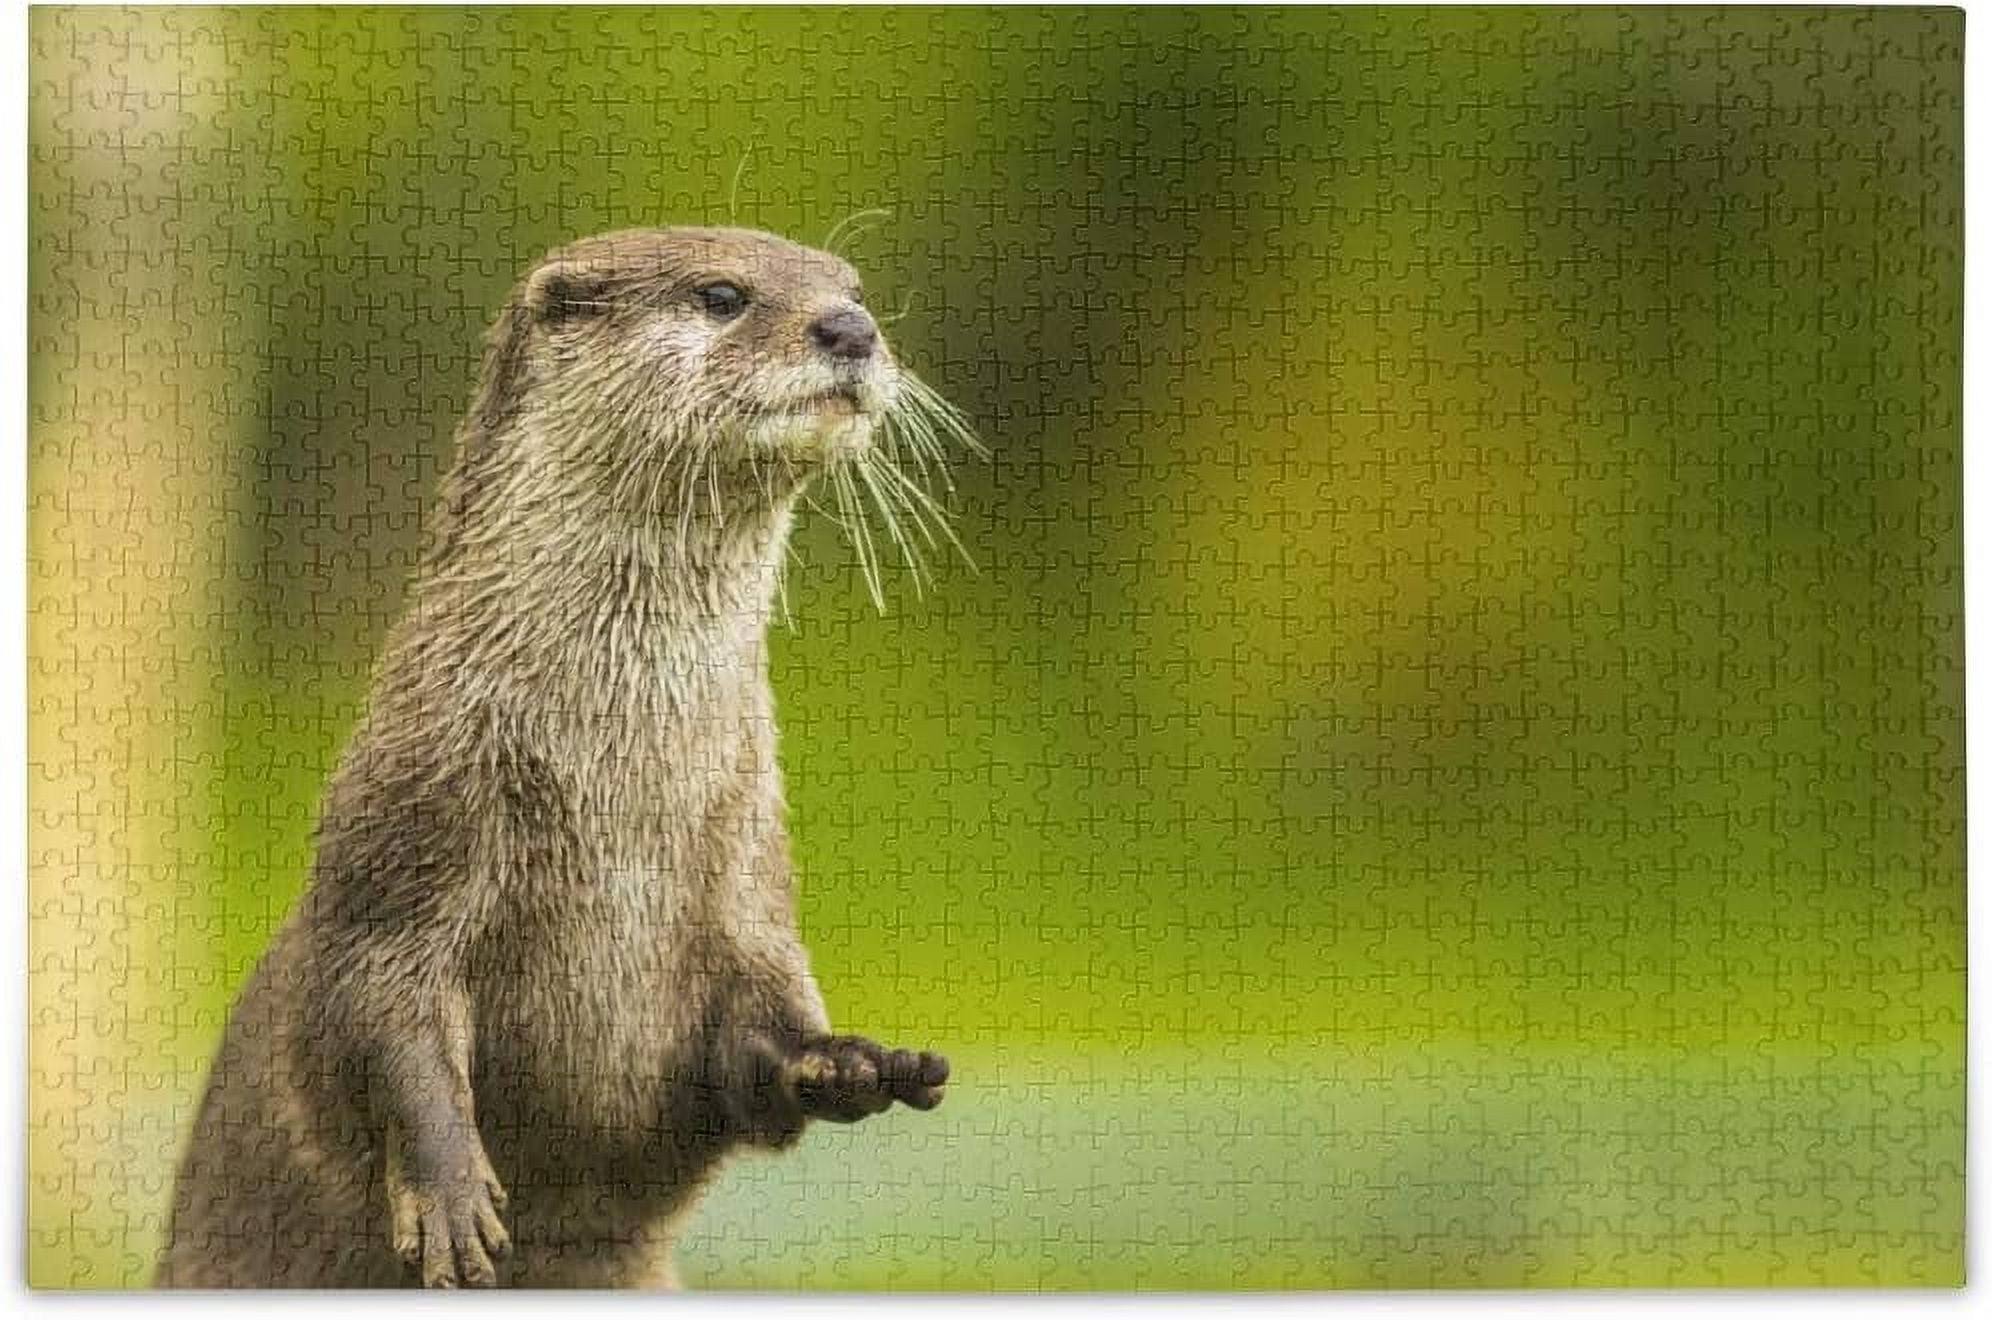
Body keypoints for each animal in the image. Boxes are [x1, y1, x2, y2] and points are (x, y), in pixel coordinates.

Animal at [157, 227, 972, 1288]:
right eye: (722, 295)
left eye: (855, 288)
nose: (850, 328)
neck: (620, 780)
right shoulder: (410, 820)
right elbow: (381, 1008)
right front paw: (449, 1194)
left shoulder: (748, 857)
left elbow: (754, 1054)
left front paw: (843, 1060)